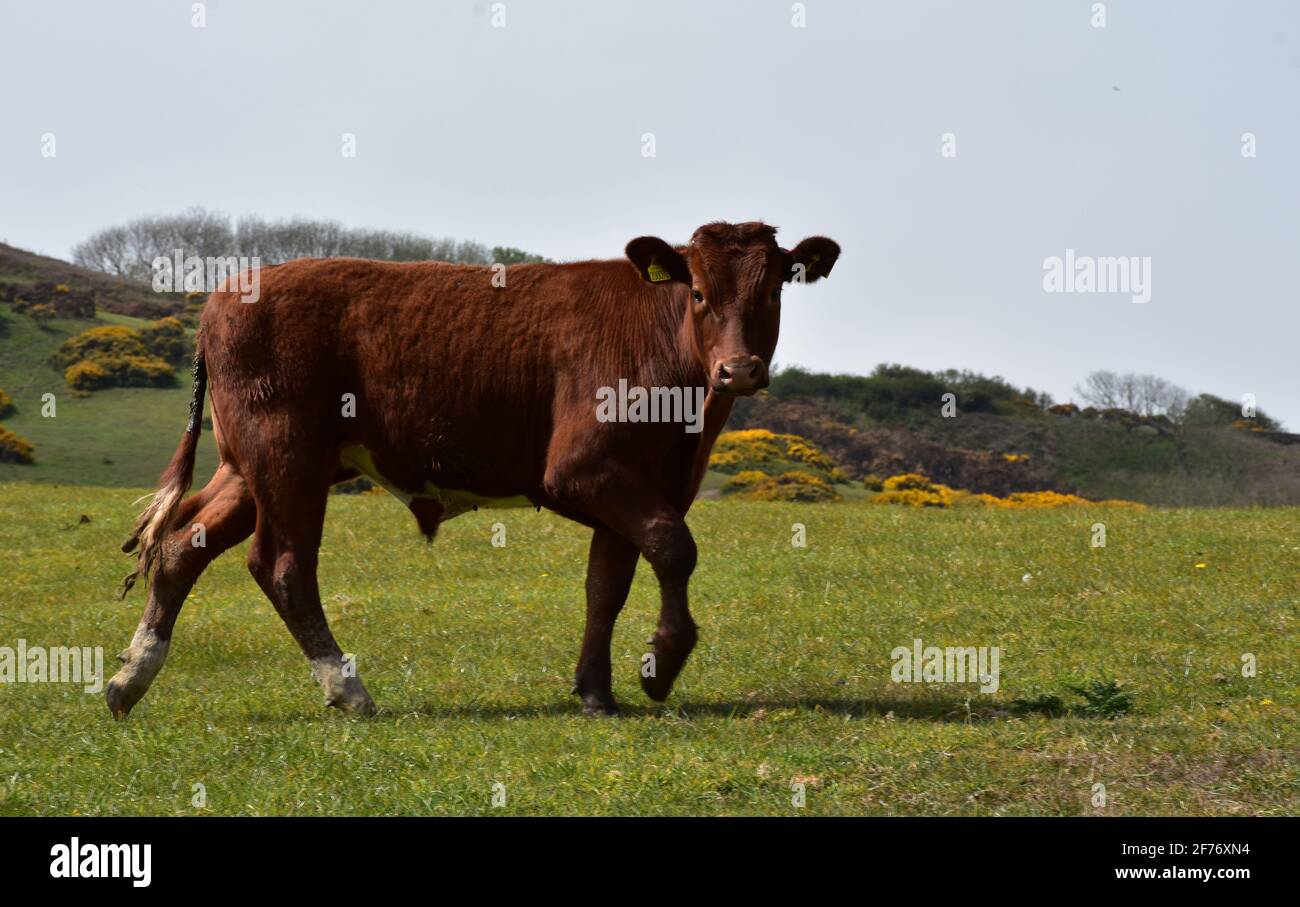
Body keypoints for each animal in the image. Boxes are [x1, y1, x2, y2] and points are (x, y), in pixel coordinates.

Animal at [107, 221, 840, 718]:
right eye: (698, 292)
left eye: (774, 290)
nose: (738, 369)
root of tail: (227, 294)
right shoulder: (585, 466)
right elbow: (673, 546)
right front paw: (660, 663)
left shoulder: (644, 483)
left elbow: (607, 584)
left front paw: (596, 691)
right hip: (286, 457)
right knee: (283, 566)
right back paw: (348, 688)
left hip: (249, 467)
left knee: (181, 544)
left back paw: (129, 679)